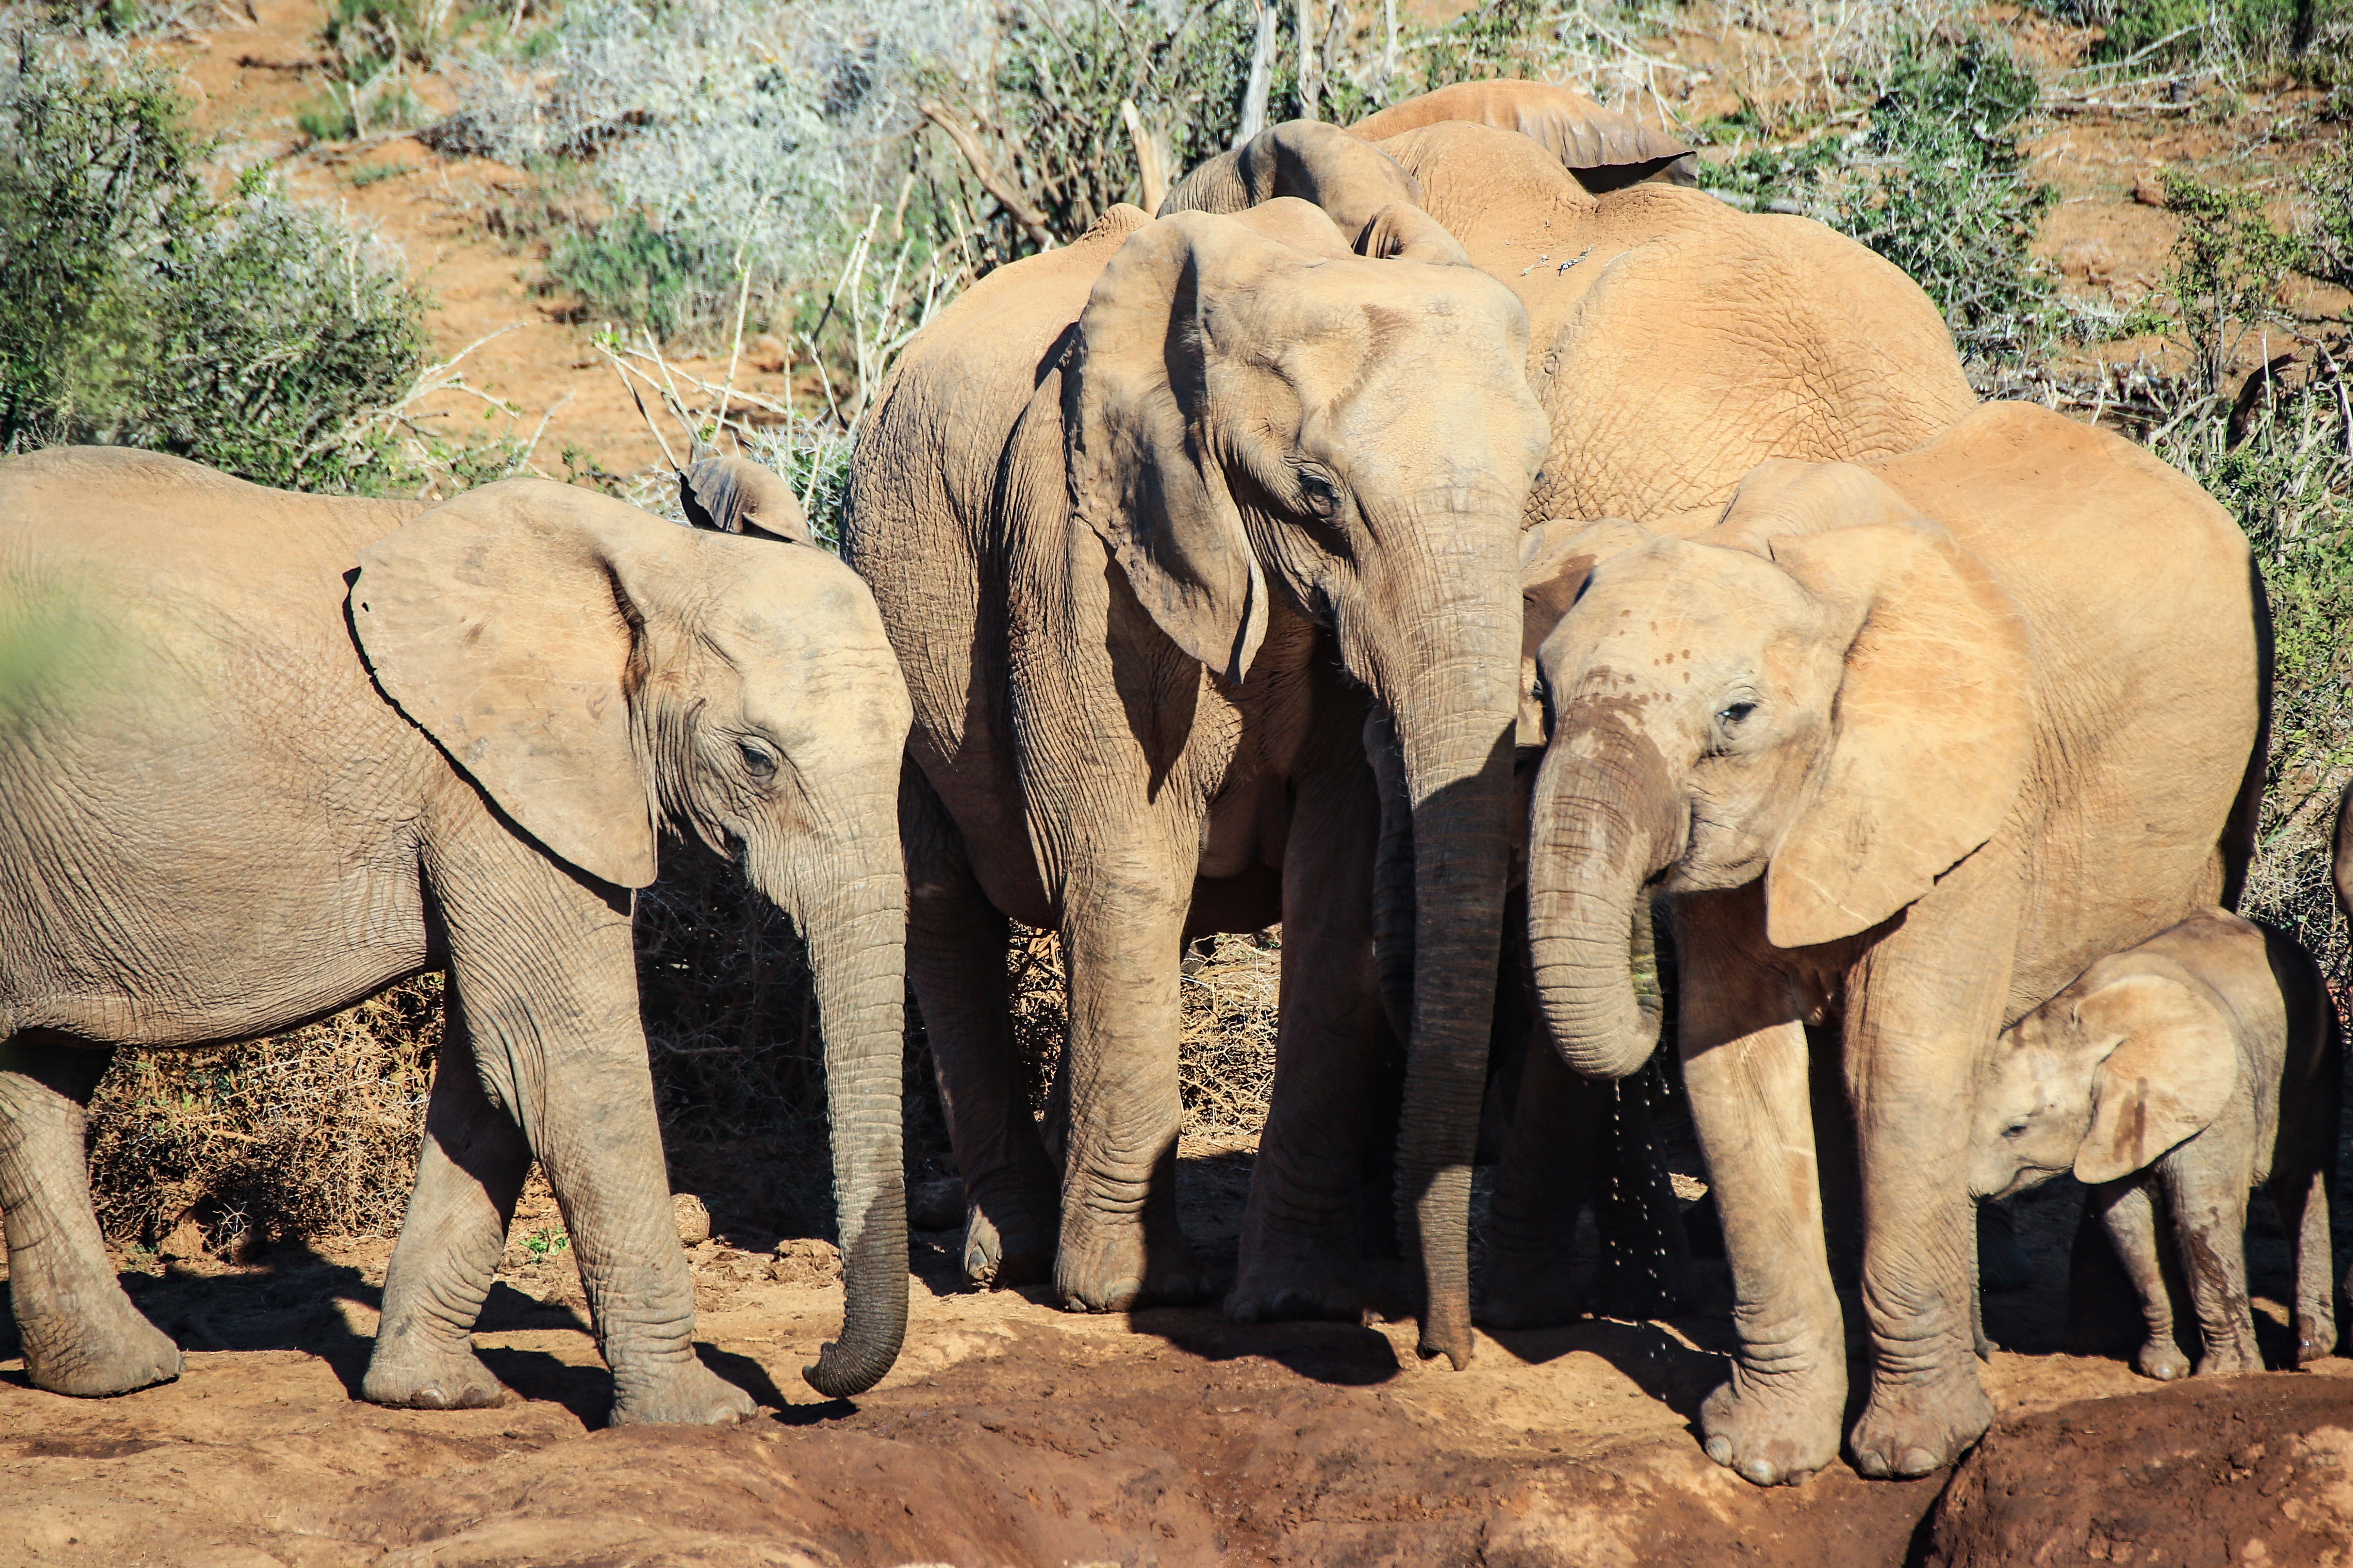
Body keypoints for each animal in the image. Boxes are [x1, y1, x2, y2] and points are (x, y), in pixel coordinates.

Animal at [0, 447, 913, 1420]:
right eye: (756, 757)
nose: (815, 1367)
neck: (651, 557)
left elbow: (494, 1065)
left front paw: (432, 1392)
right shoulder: (487, 782)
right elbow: (560, 1053)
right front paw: (704, 1412)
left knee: (42, 1075)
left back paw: (115, 1373)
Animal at [844, 195, 1550, 1361]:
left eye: (1537, 483)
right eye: (1319, 494)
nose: (1442, 1344)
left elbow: (1336, 893)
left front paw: (1300, 1300)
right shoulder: (1078, 553)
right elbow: (1125, 864)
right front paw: (1129, 1293)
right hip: (891, 604)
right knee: (942, 905)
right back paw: (1012, 1257)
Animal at [1518, 399, 2266, 1483]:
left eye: (1736, 713)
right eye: (1542, 691)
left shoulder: (1970, 810)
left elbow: (1897, 1062)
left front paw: (1917, 1452)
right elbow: (1736, 1068)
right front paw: (1764, 1456)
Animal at [1969, 909, 2340, 1380]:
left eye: (2015, 1129)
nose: (1990, 1350)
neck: (2083, 1025)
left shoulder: (2218, 1100)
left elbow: (2201, 1213)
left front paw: (2226, 1374)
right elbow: (2127, 1222)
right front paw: (2163, 1370)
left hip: (2316, 1054)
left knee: (2303, 1183)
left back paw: (2310, 1351)